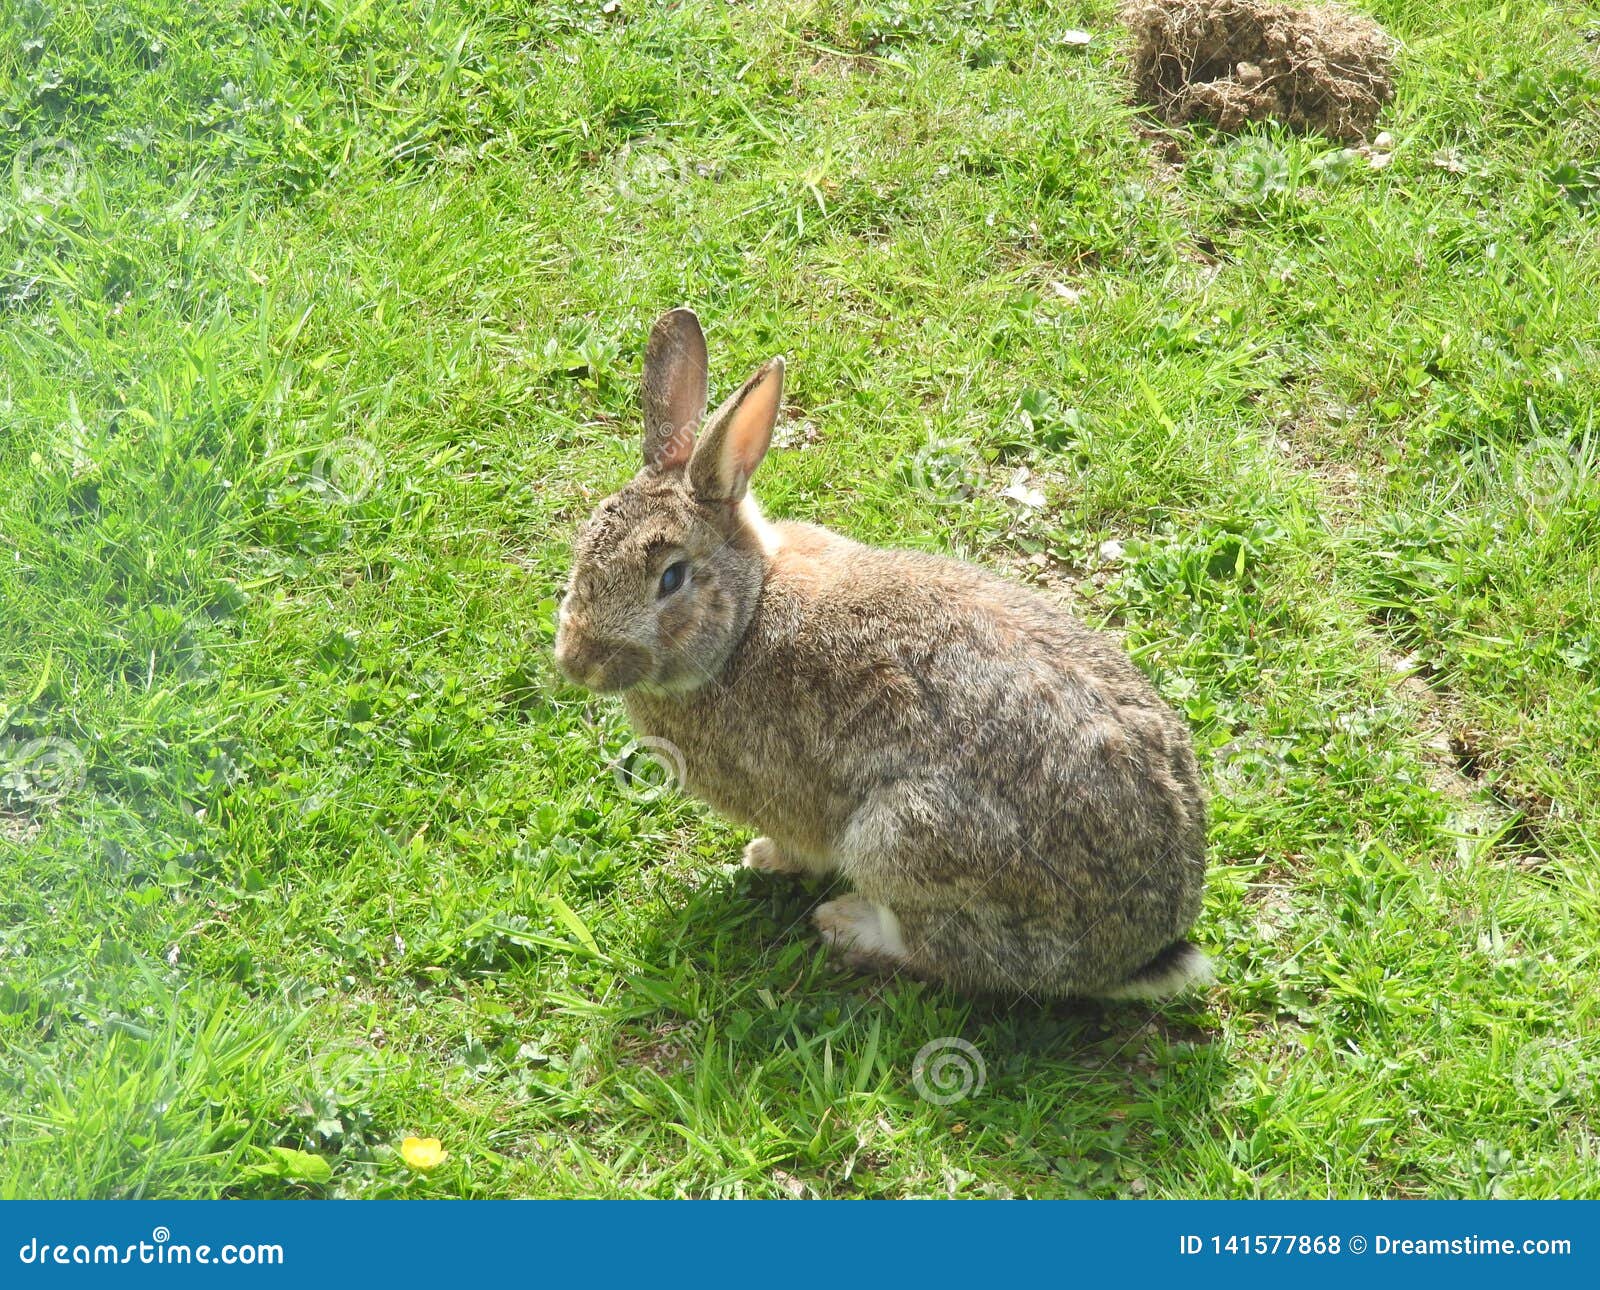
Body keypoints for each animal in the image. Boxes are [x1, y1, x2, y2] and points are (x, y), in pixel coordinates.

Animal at [554, 307, 1211, 1000]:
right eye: (584, 543)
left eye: (672, 579)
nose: (576, 662)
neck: (747, 612)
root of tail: (1138, 953)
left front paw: (764, 857)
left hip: (902, 836)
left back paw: (846, 924)